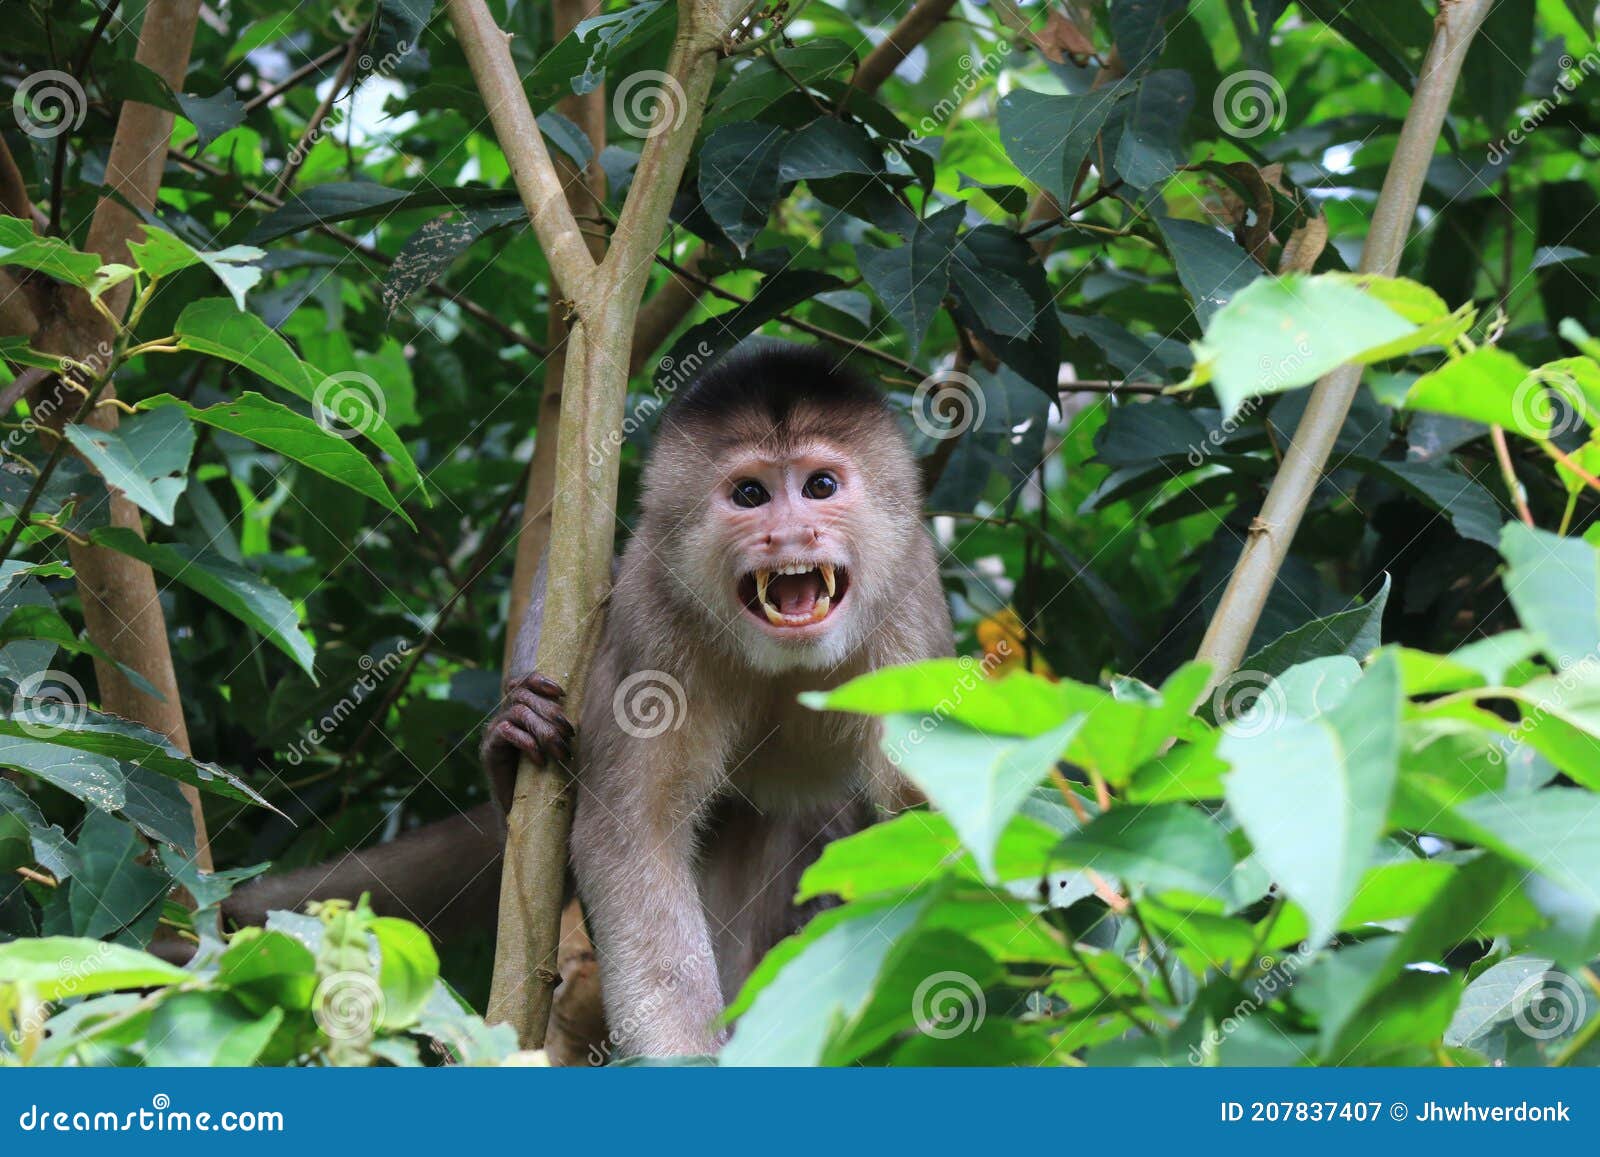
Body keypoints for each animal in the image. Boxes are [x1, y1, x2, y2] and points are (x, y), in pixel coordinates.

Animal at [482, 342, 954, 1058]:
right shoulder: (656, 616)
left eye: (820, 487)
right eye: (750, 495)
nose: (790, 535)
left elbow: (926, 824)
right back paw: (513, 747)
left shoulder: (909, 612)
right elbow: (631, 838)